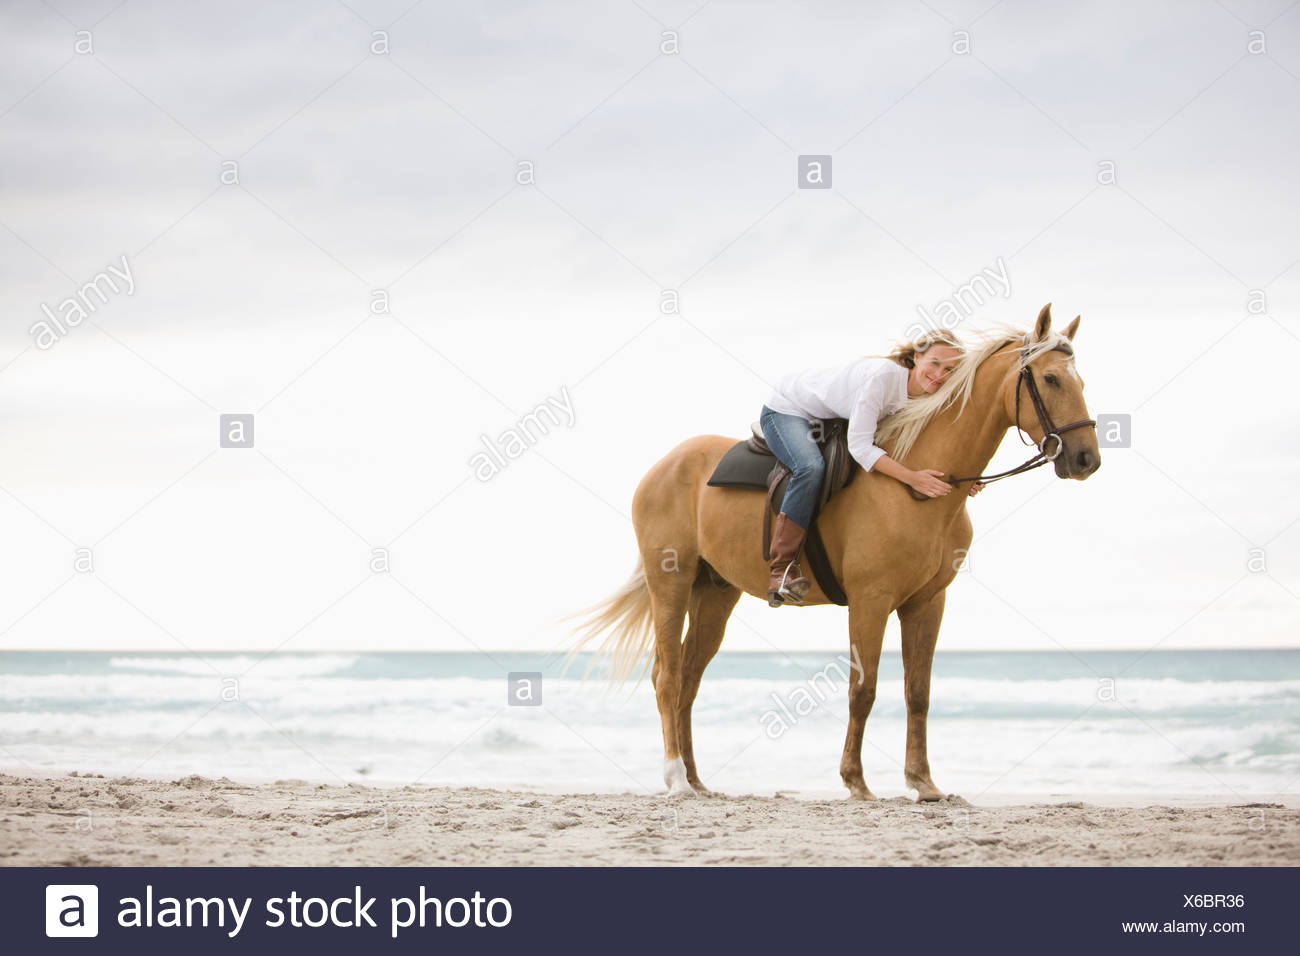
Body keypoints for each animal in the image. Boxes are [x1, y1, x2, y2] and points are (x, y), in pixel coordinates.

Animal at [567, 304, 1100, 801]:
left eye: (1078, 379)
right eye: (1051, 378)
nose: (1086, 459)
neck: (916, 482)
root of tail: (665, 465)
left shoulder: (926, 603)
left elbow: (918, 692)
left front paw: (923, 783)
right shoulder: (870, 600)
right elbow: (863, 689)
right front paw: (856, 782)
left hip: (715, 593)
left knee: (689, 682)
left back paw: (698, 781)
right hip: (671, 584)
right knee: (667, 676)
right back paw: (676, 778)